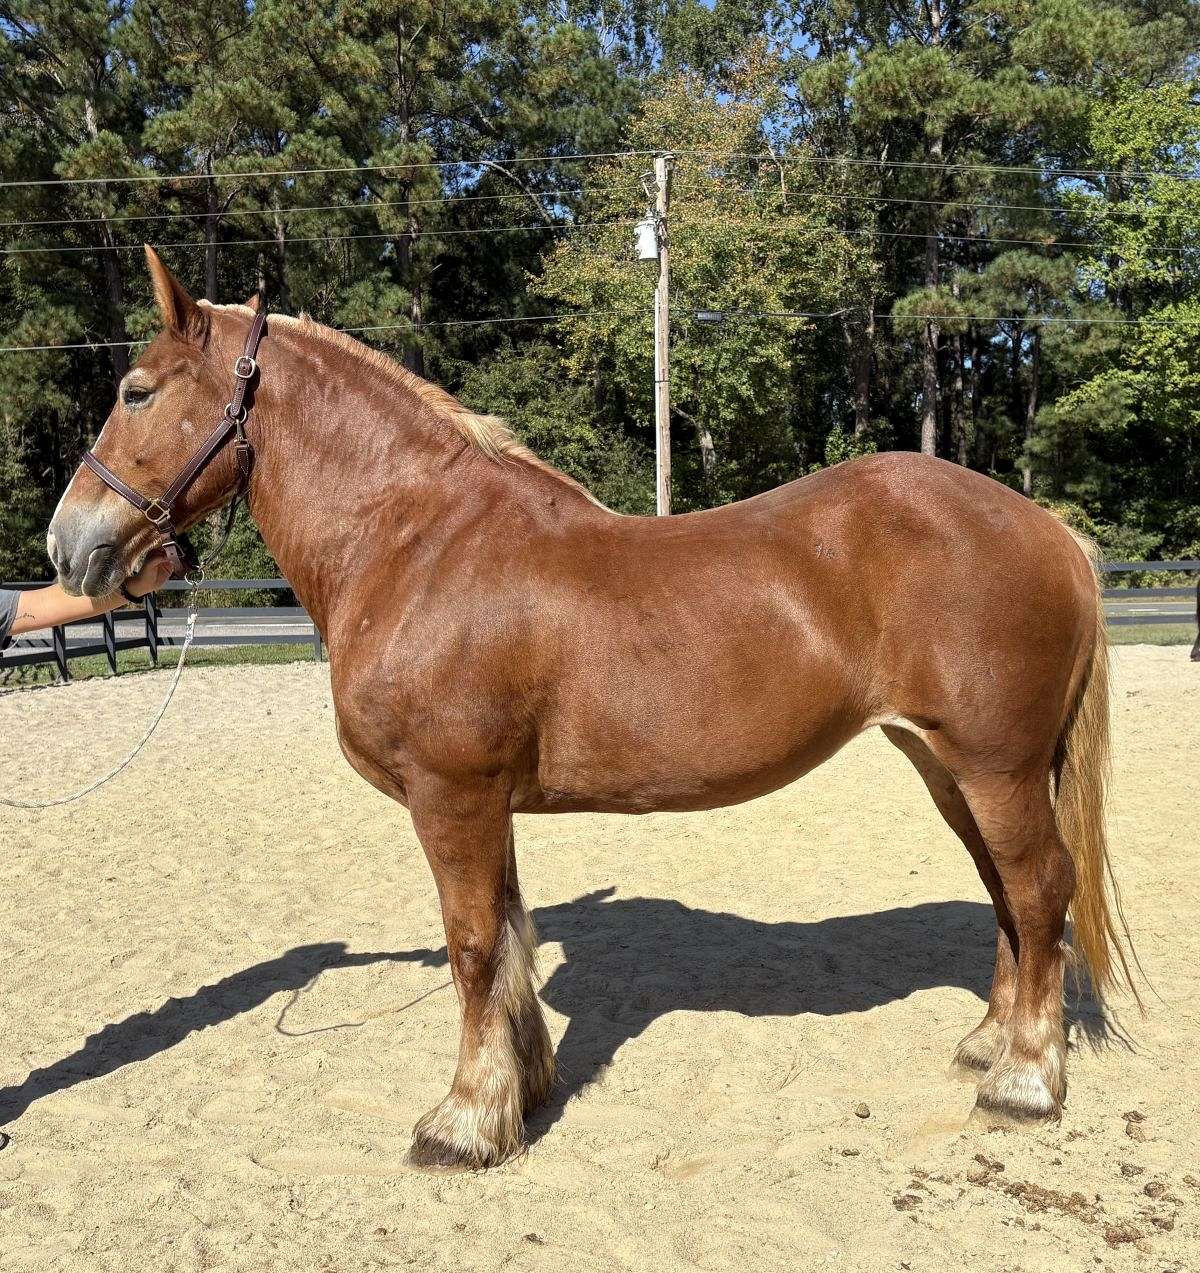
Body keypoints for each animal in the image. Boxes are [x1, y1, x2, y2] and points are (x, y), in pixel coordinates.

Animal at [46, 246, 1137, 1170]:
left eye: (137, 391)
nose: (68, 546)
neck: (417, 543)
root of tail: (1048, 530)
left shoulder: (451, 794)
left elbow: (473, 945)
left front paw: (462, 1123)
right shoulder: (485, 802)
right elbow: (508, 940)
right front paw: (519, 1096)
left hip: (992, 765)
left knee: (1039, 889)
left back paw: (1025, 1082)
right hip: (946, 764)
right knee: (1008, 896)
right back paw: (989, 1043)